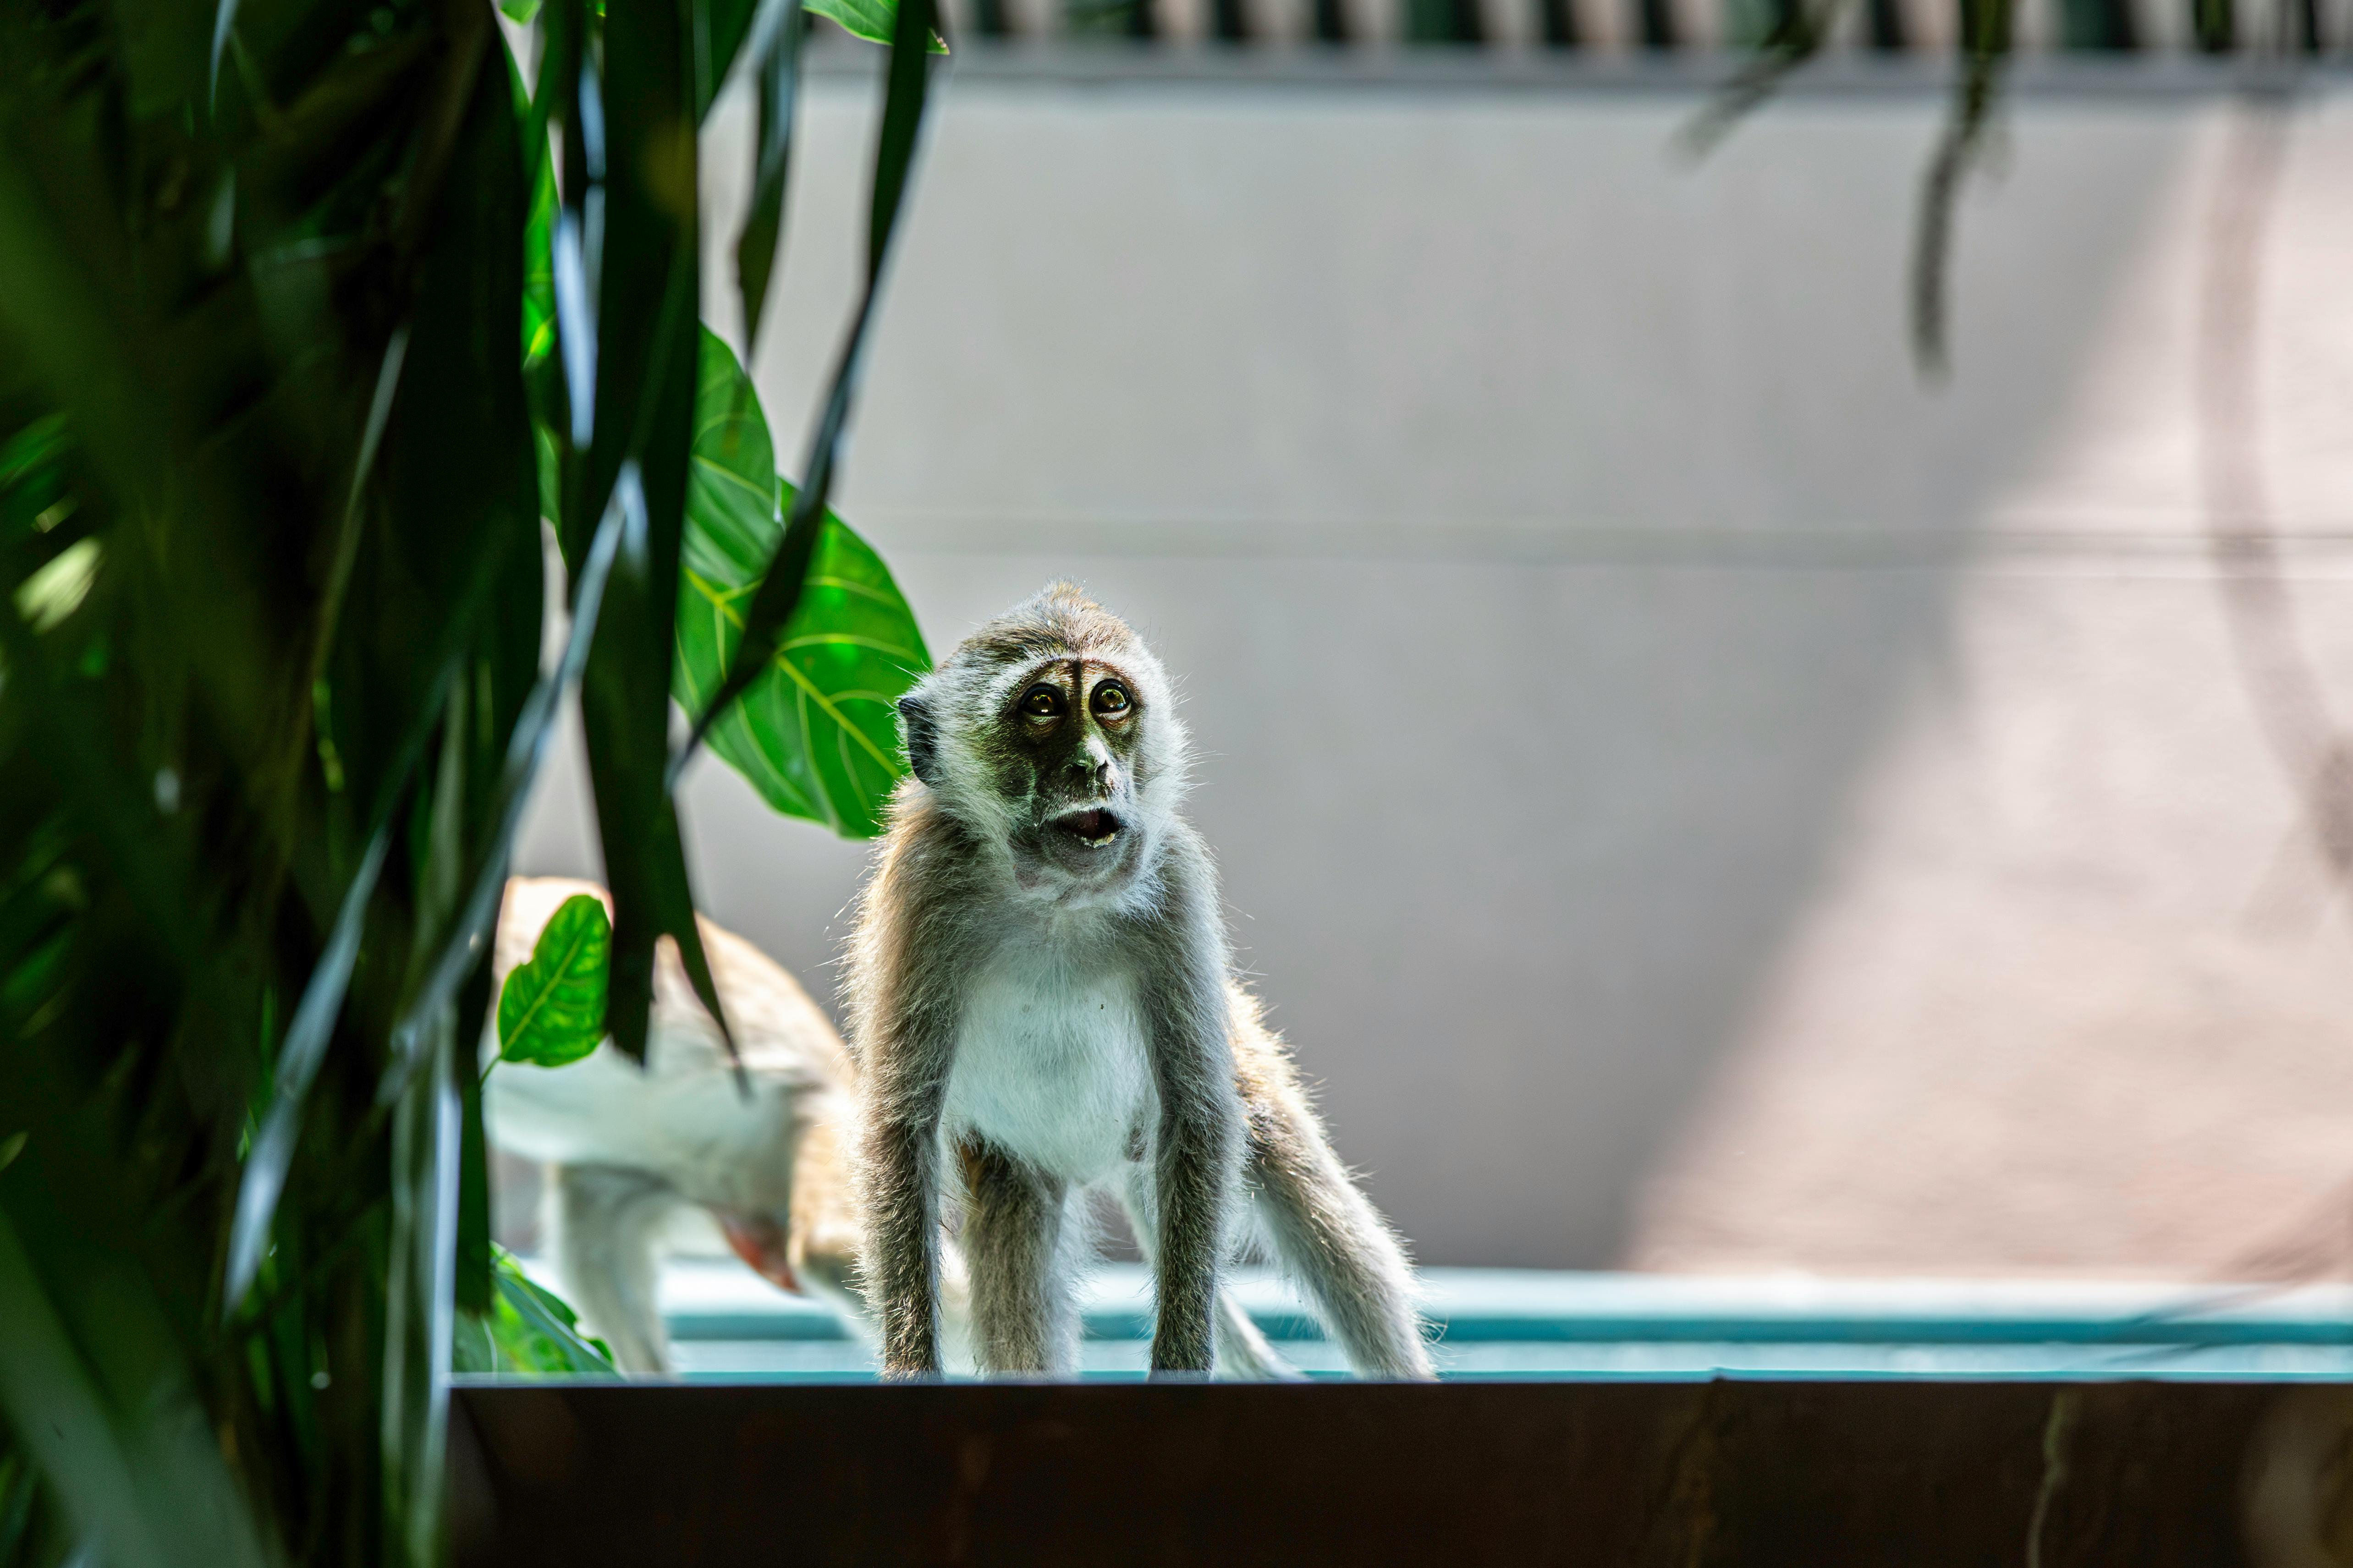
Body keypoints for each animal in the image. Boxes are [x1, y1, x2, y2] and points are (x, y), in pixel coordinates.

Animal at [848, 581, 1435, 1381]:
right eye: (1042, 705)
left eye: (1110, 701)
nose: (1096, 765)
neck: (1055, 897)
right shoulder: (922, 885)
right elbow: (902, 1126)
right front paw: (912, 1370)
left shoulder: (1177, 883)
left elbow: (1198, 1112)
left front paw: (1180, 1363)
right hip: (1016, 1162)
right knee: (1018, 1270)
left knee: (1311, 1206)